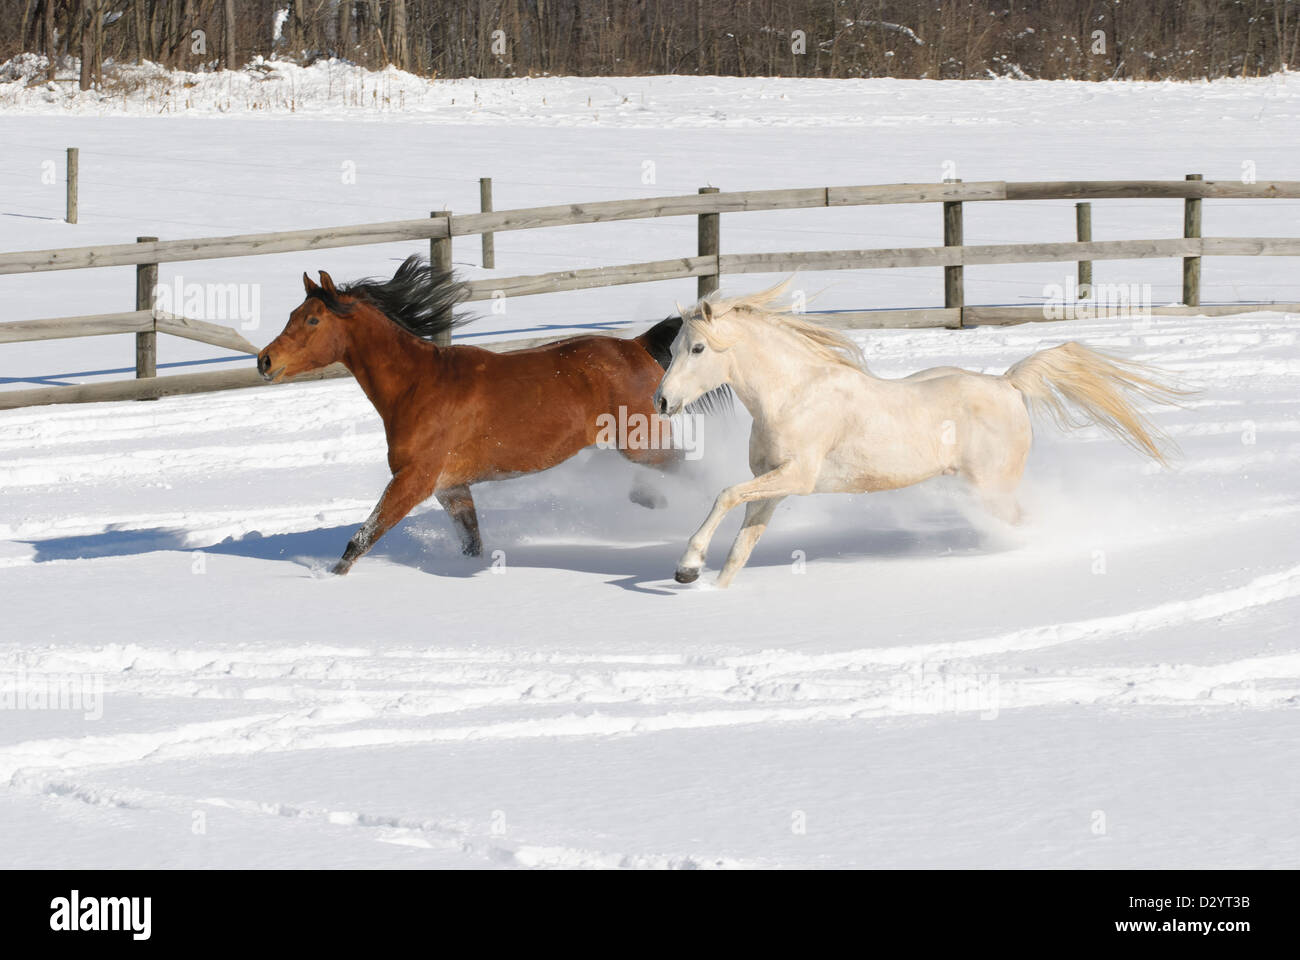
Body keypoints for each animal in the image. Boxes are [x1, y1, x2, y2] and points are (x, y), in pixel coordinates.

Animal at [257, 255, 700, 575]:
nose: (264, 361)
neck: (418, 385)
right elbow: (472, 542)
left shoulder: (413, 480)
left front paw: (328, 577)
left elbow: (362, 537)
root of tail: (637, 346)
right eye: (292, 315)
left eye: (312, 319)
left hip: (642, 444)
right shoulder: (451, 488)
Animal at [652, 280, 1189, 588]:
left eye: (698, 349)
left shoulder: (796, 478)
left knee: (1025, 523)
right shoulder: (774, 488)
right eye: (673, 348)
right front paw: (709, 586)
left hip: (994, 490)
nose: (661, 402)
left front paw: (686, 567)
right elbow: (740, 550)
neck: (793, 394)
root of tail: (1008, 384)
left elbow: (724, 494)